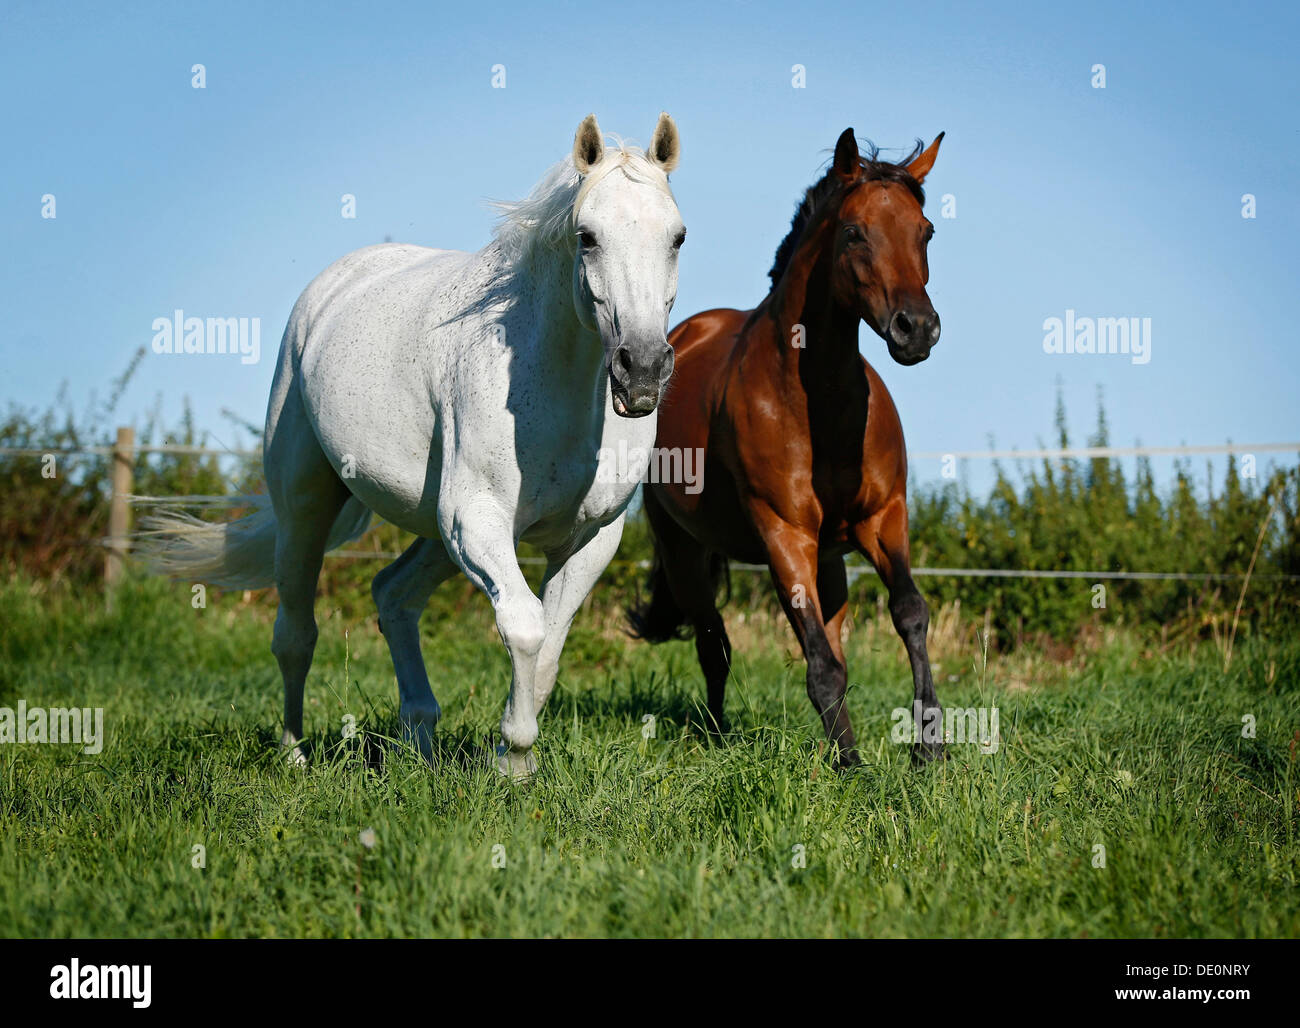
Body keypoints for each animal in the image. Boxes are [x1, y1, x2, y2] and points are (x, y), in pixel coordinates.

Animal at [138, 113, 687, 779]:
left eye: (677, 237)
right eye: (587, 237)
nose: (643, 371)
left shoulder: (588, 538)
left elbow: (550, 650)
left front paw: (516, 762)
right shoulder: (478, 518)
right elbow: (525, 627)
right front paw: (513, 757)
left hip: (436, 534)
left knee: (393, 595)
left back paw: (418, 739)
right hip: (308, 507)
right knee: (295, 633)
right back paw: (295, 754)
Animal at [629, 126, 945, 768]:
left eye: (926, 231)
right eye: (854, 232)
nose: (916, 329)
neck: (818, 406)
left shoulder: (884, 520)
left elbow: (909, 613)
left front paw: (929, 749)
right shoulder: (785, 536)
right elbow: (820, 666)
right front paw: (853, 767)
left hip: (830, 560)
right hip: (684, 552)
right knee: (713, 644)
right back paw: (717, 737)